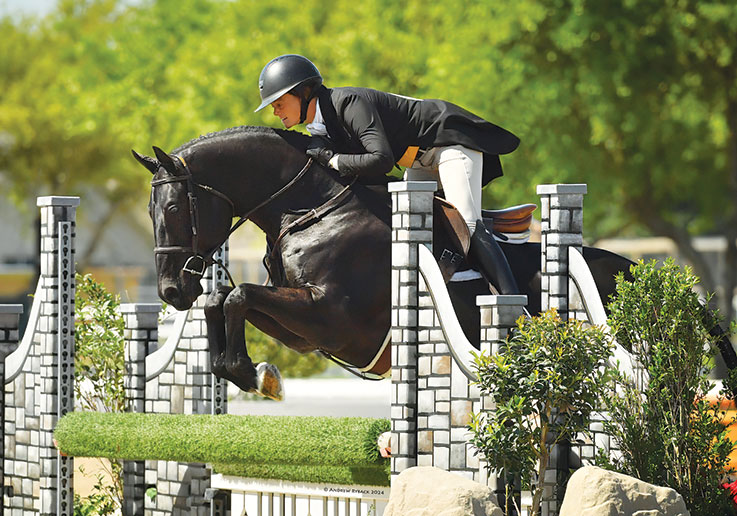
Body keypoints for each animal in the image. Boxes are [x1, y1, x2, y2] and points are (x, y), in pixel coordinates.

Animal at [133, 126, 737, 399]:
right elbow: (224, 299)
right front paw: (248, 371)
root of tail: (647, 275)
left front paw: (253, 374)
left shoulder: (335, 319)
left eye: (173, 209)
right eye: (150, 211)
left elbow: (237, 294)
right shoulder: (306, 330)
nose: (169, 293)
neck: (311, 210)